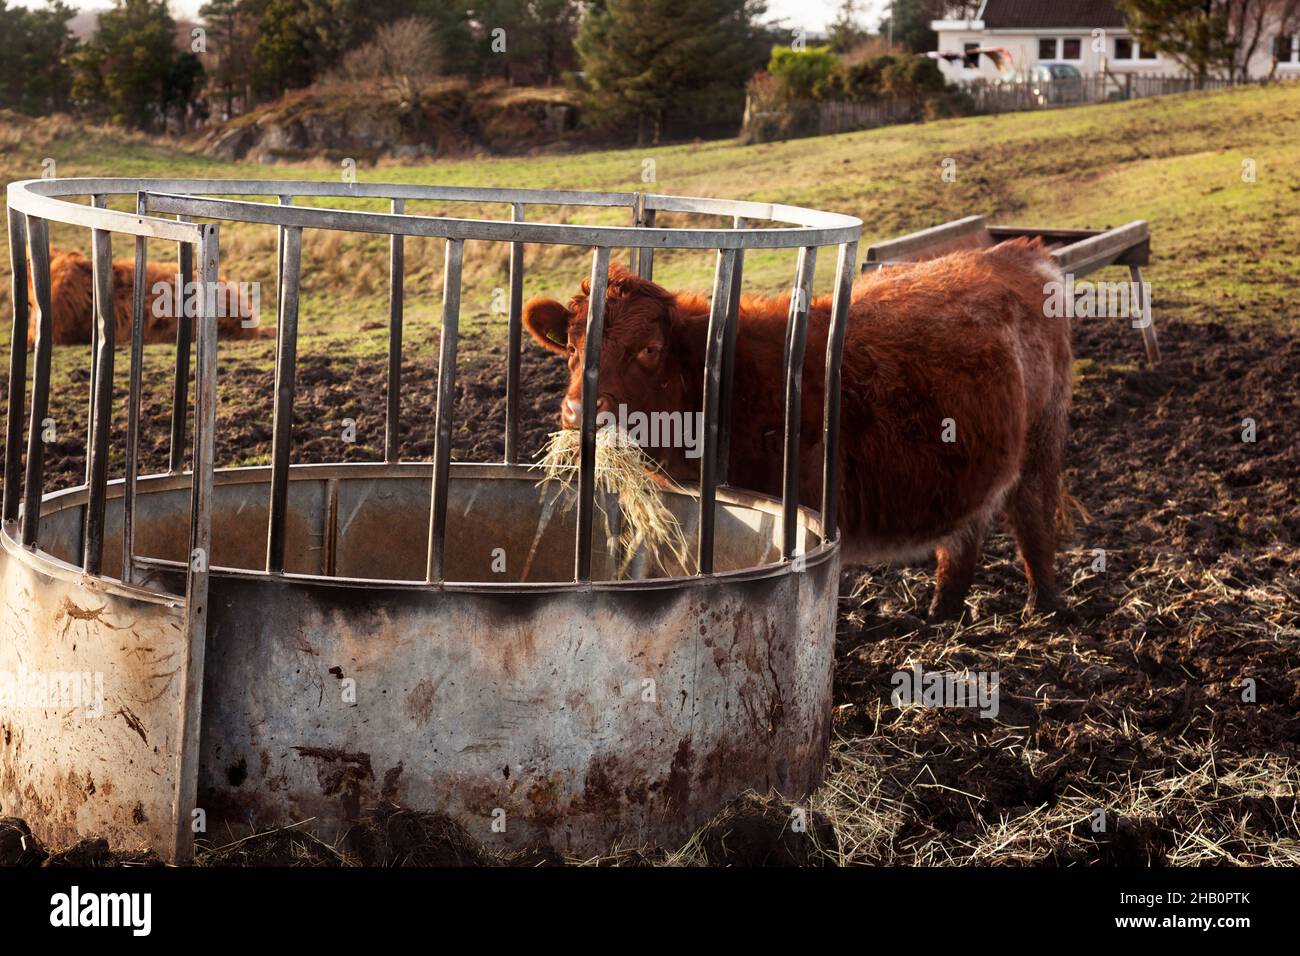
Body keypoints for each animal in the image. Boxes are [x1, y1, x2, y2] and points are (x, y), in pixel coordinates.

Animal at [522, 238, 1076, 621]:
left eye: (649, 350)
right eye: (570, 347)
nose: (578, 411)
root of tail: (1017, 252)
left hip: (1043, 440)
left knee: (1033, 519)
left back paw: (1042, 608)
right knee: (966, 533)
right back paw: (941, 612)